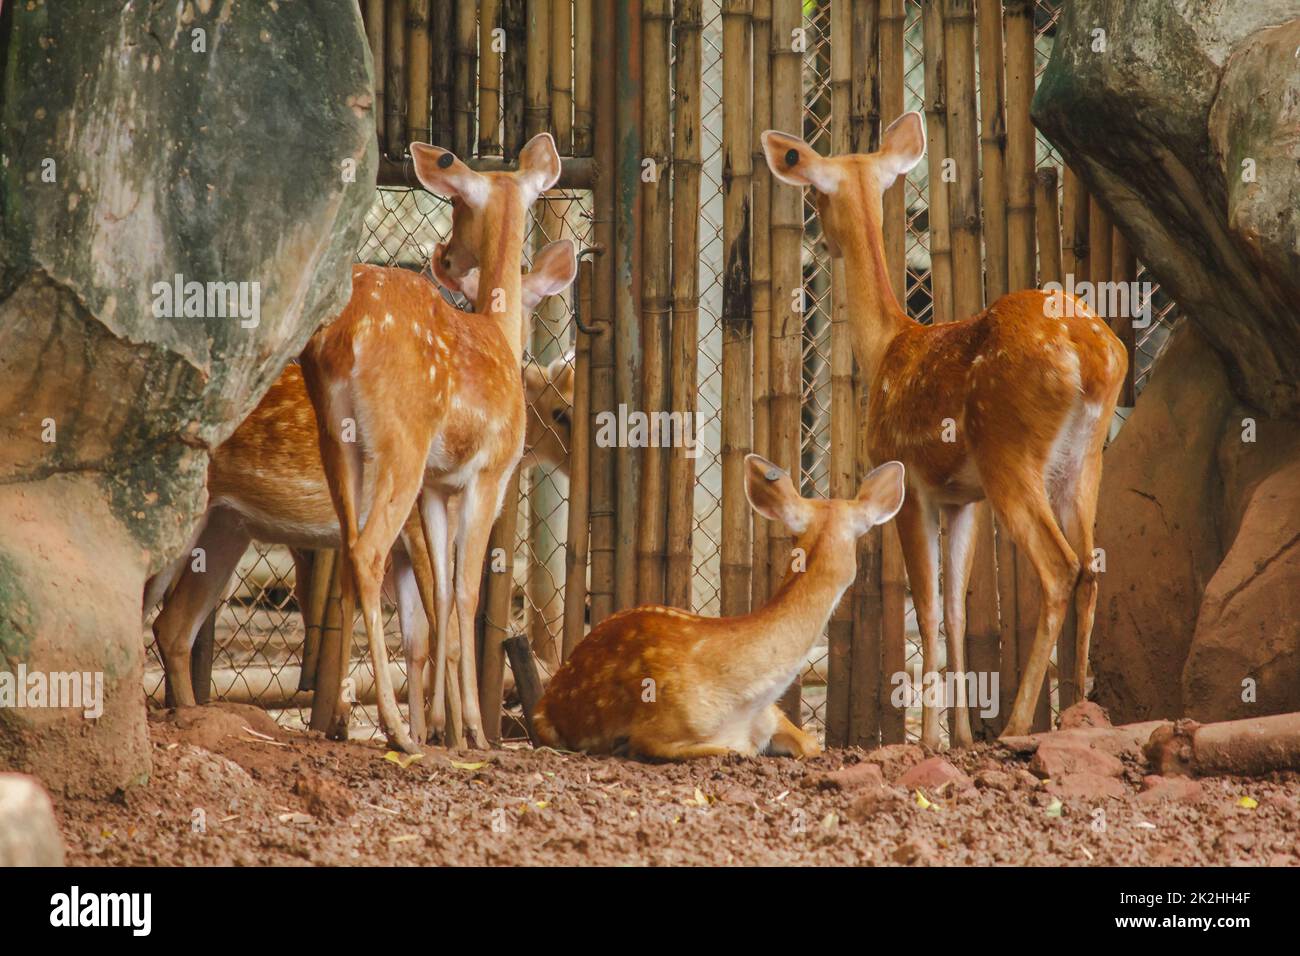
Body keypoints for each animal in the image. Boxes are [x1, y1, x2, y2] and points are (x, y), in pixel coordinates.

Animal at [144, 241, 578, 746]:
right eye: (560, 412)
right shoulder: (419, 524)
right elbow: (442, 627)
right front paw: (450, 735)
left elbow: (417, 641)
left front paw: (422, 732)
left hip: (227, 524)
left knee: (172, 625)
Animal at [300, 132, 562, 754]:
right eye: (460, 201)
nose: (443, 254)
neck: (499, 336)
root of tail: (340, 337)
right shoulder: (491, 471)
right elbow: (466, 592)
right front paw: (474, 731)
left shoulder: (440, 486)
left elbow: (440, 594)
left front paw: (454, 730)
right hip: (402, 442)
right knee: (367, 552)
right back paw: (398, 731)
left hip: (337, 439)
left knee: (346, 561)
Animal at [761, 112, 1128, 748]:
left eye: (816, 193)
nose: (823, 239)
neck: (887, 348)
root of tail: (1093, 356)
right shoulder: (963, 499)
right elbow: (956, 610)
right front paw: (959, 737)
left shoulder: (910, 484)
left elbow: (929, 609)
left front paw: (931, 740)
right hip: (1083, 460)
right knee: (1092, 567)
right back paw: (1080, 713)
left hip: (1010, 451)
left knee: (1060, 568)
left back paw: (1017, 725)